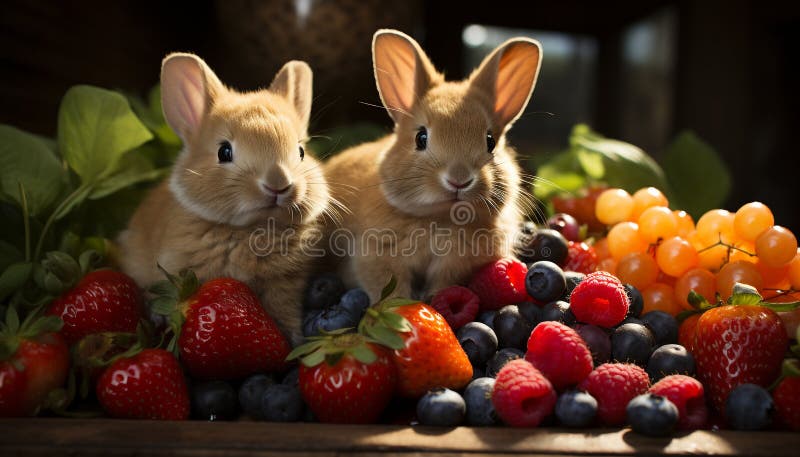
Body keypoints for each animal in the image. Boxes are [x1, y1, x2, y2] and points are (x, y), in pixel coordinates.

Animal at [117, 53, 332, 345]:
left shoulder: (286, 287)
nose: (278, 185)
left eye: (300, 151)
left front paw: (294, 340)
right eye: (224, 152)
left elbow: (285, 312)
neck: (251, 229)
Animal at [324, 29, 542, 302]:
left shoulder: (455, 265)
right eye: (421, 138)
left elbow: (443, 284)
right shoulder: (378, 256)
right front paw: (403, 307)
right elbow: (389, 288)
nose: (459, 179)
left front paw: (434, 300)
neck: (440, 218)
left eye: (490, 141)